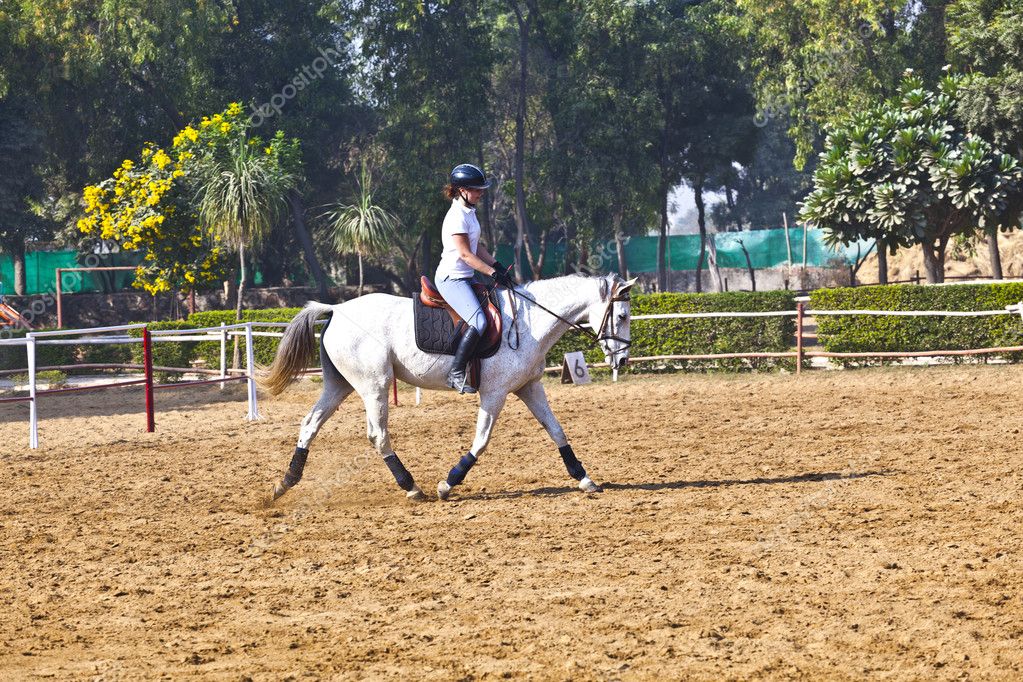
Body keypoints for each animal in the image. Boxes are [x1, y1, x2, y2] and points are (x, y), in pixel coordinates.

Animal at [263, 272, 636, 502]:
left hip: (339, 385)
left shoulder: (529, 388)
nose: (622, 359)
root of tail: (337, 310)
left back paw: (285, 483)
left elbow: (556, 430)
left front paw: (584, 478)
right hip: (374, 384)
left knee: (310, 424)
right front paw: (448, 483)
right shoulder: (495, 393)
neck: (528, 321)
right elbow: (481, 441)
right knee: (377, 435)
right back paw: (411, 487)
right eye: (621, 317)